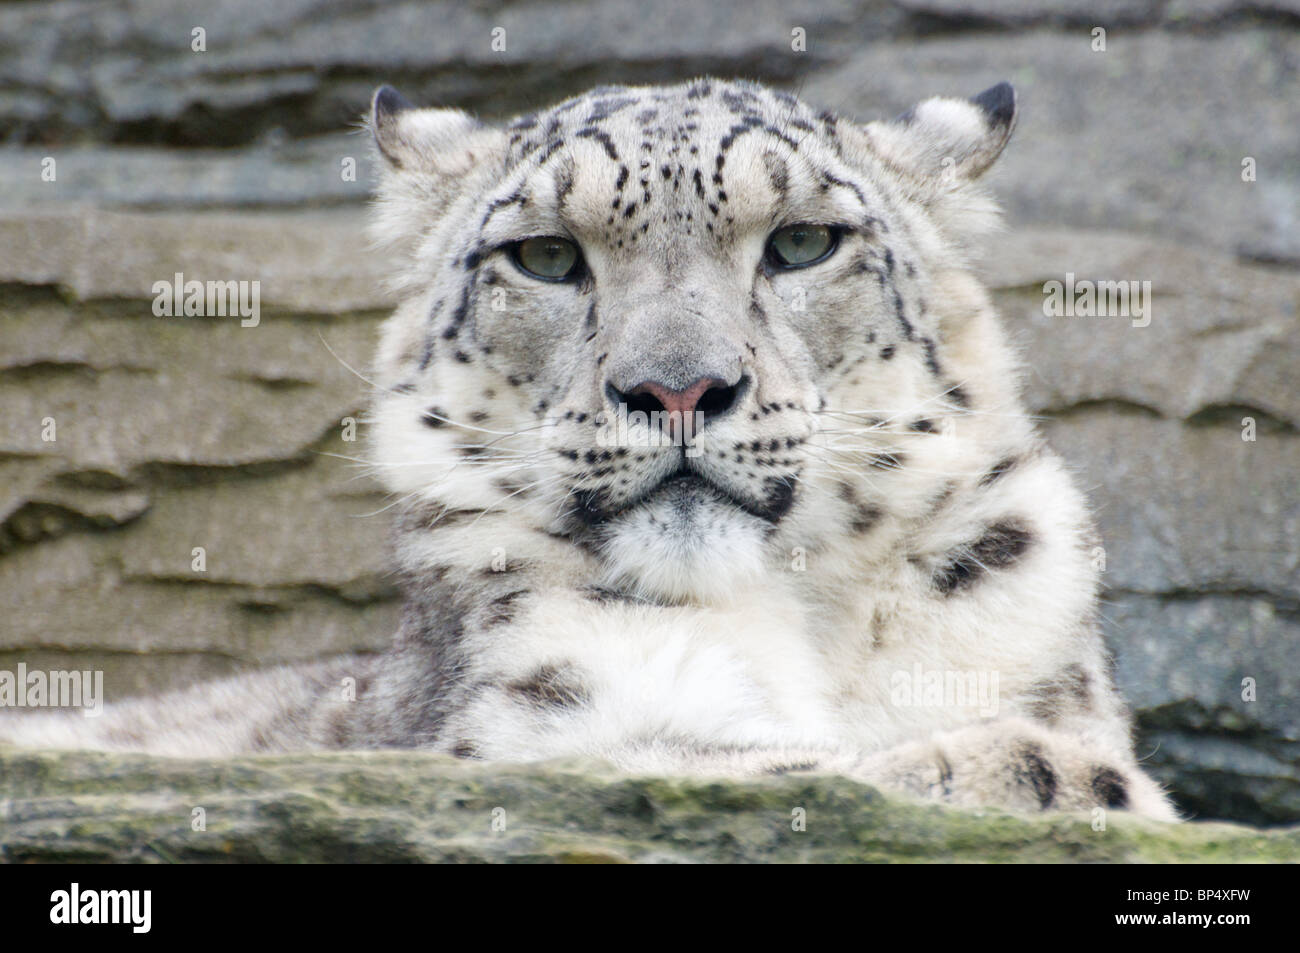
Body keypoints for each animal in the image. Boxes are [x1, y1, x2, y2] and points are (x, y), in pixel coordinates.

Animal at [0, 77, 1177, 821]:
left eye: (802, 241)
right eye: (547, 256)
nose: (677, 388)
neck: (805, 623)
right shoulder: (530, 742)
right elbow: (710, 766)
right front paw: (1047, 776)